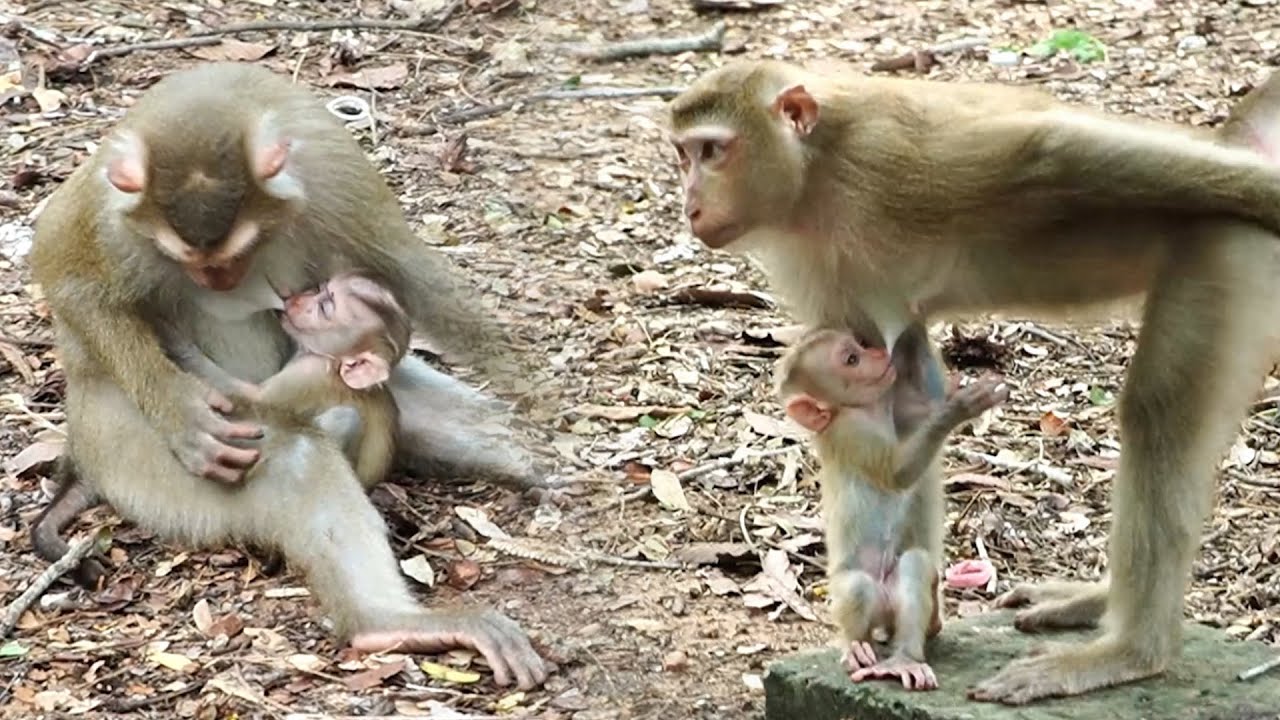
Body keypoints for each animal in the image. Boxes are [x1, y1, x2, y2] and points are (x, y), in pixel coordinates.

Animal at [28, 62, 550, 688]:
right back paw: (385, 622)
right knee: (296, 456)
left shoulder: (331, 169)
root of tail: (84, 457)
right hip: (131, 462)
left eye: (240, 251)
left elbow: (407, 270)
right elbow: (66, 277)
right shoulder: (108, 215)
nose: (221, 281)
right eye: (191, 261)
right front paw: (182, 412)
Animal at [776, 327, 1008, 690]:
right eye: (852, 359)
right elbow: (895, 474)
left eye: (860, 344)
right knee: (857, 588)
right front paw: (957, 408)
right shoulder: (850, 431)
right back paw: (857, 649)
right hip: (854, 596)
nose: (879, 354)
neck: (867, 408)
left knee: (915, 567)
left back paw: (905, 658)